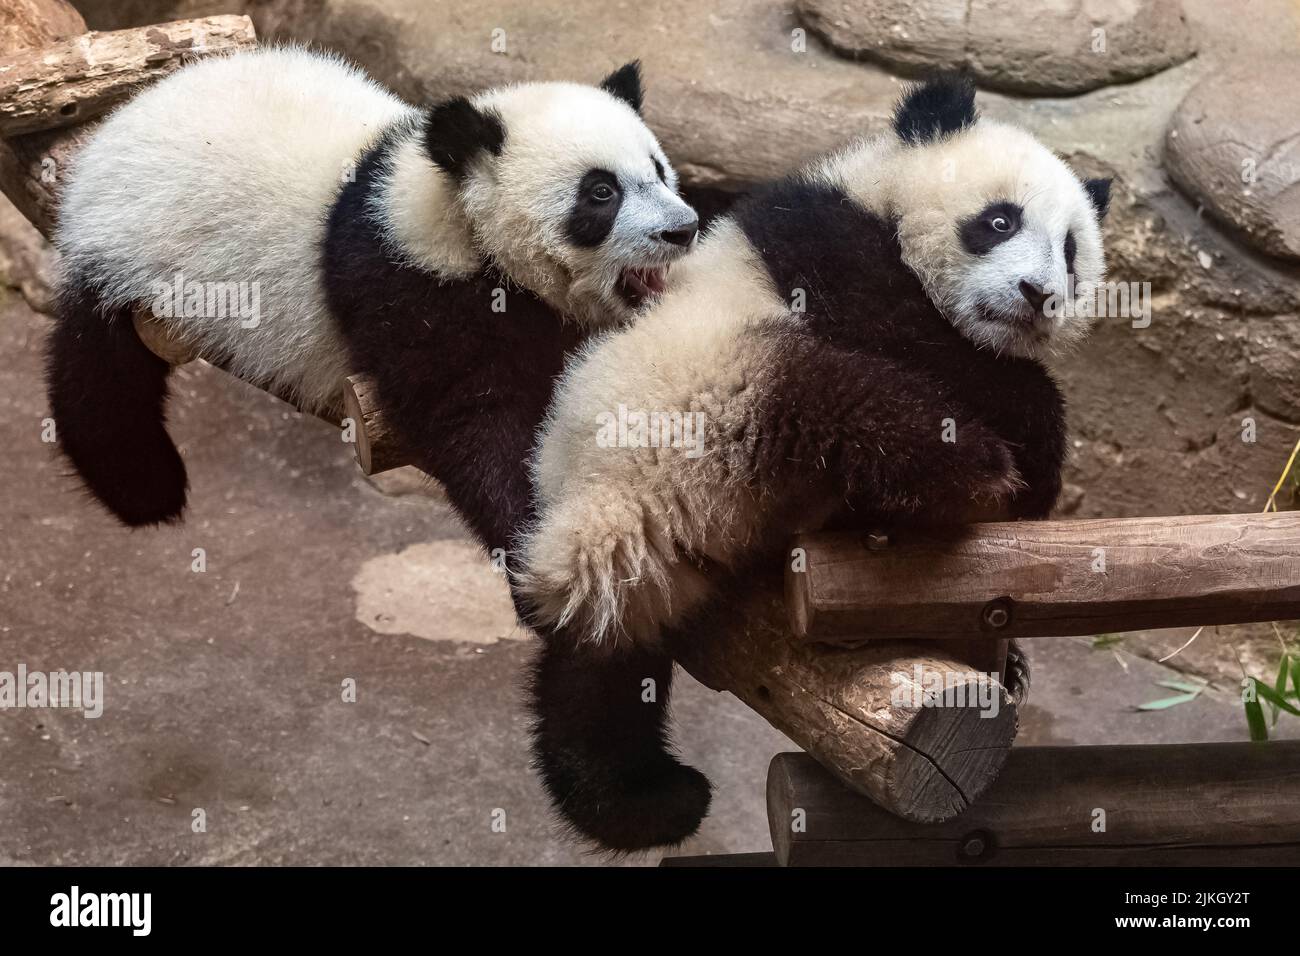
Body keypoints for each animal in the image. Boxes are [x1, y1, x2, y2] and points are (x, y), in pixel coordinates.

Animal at [46, 48, 697, 538]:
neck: (458, 209)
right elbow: (476, 422)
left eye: (659, 170)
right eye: (600, 193)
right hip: (130, 245)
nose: (683, 228)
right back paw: (146, 488)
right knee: (97, 375)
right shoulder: (409, 280)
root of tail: (120, 124)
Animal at [515, 75, 1111, 850]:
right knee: (843, 403)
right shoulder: (820, 237)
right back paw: (972, 470)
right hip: (713, 392)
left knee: (593, 673)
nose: (1040, 297)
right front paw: (1038, 442)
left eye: (1071, 252)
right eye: (1000, 221)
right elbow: (911, 330)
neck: (880, 191)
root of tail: (614, 503)